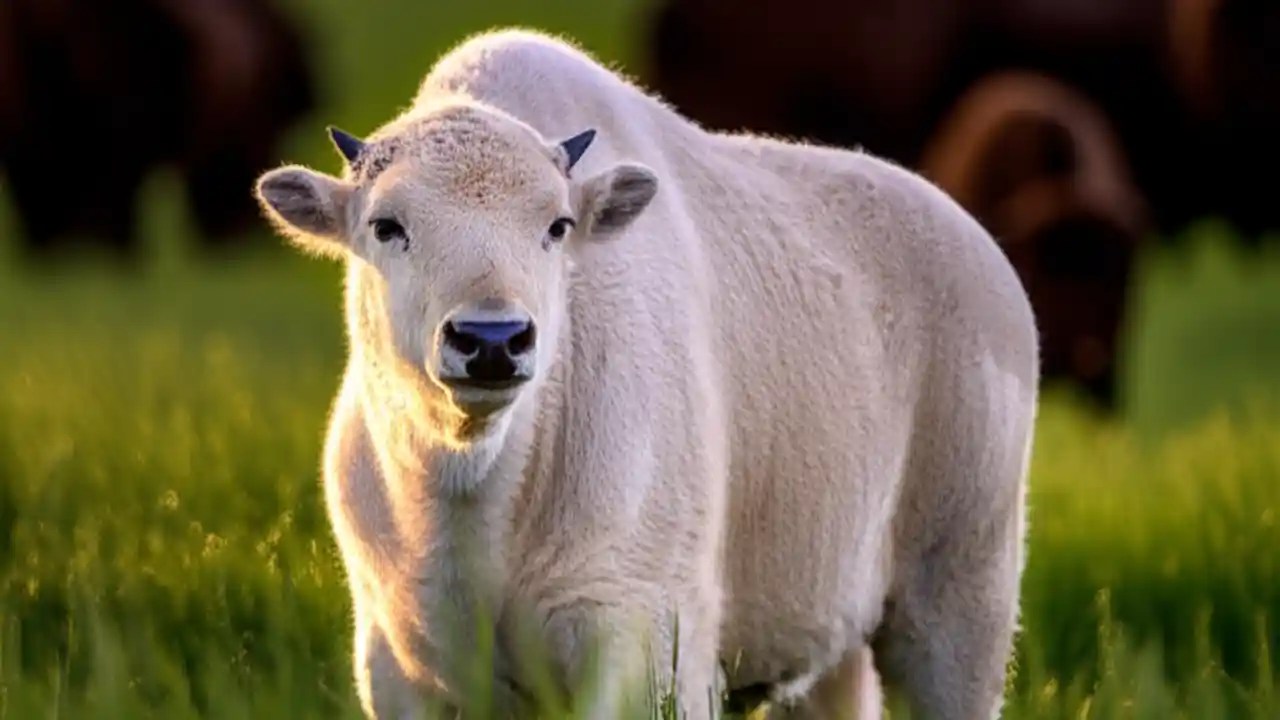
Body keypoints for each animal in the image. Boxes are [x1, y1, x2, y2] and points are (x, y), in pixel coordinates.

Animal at [254, 28, 1040, 720]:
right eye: (387, 225)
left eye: (557, 226)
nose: (491, 339)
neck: (486, 499)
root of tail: (986, 255)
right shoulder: (400, 659)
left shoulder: (647, 633)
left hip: (962, 587)